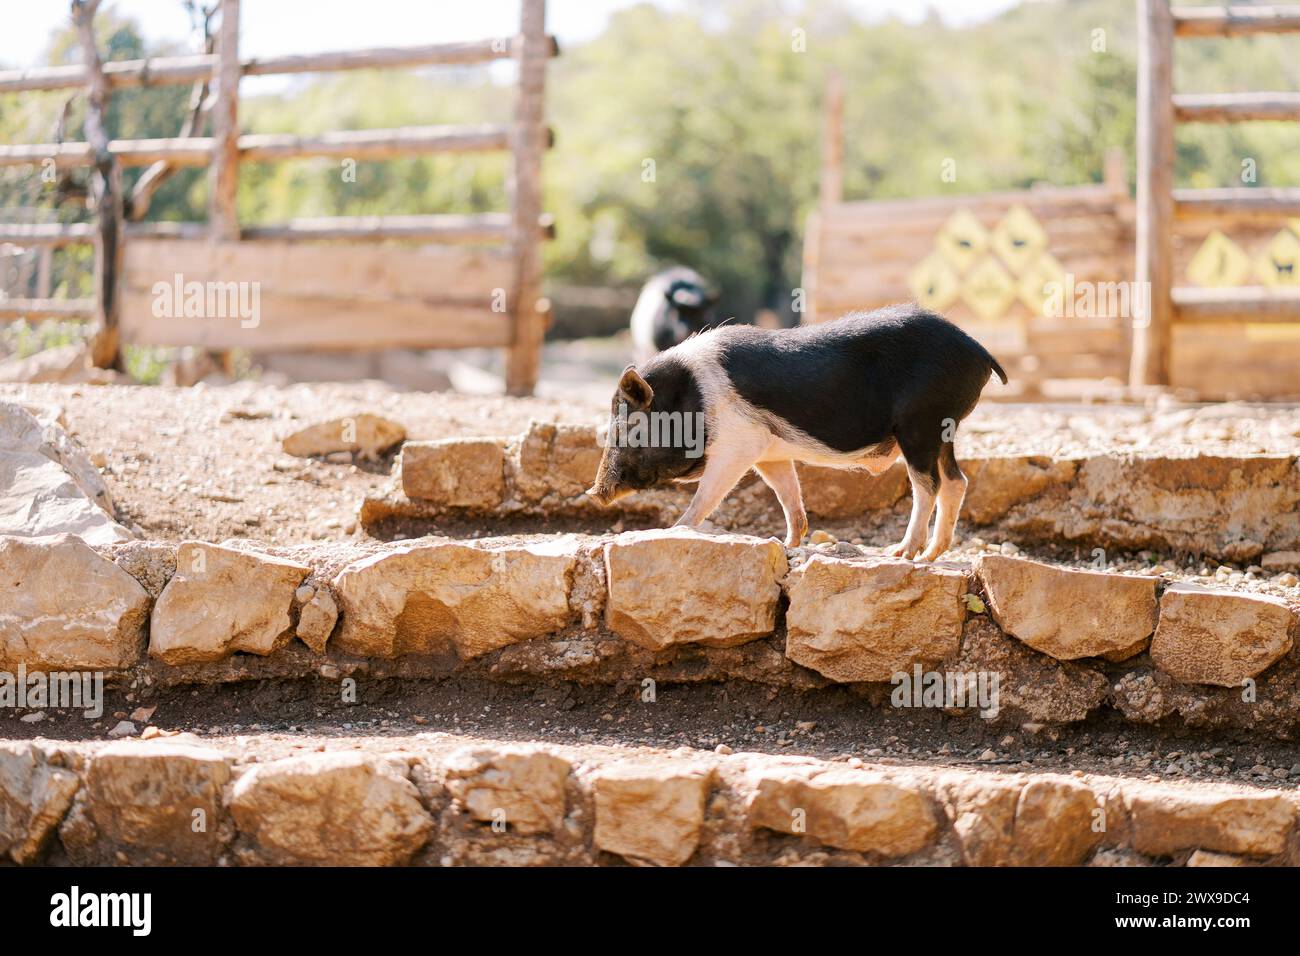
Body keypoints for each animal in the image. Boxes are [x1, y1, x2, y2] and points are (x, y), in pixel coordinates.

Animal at [587, 304, 1008, 561]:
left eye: (628, 429)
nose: (595, 492)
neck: (693, 397)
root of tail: (978, 349)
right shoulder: (768, 452)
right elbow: (788, 494)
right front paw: (784, 543)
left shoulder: (739, 445)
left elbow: (707, 496)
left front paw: (674, 530)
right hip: (943, 429)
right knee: (956, 481)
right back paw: (932, 555)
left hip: (921, 423)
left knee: (928, 485)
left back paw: (899, 553)